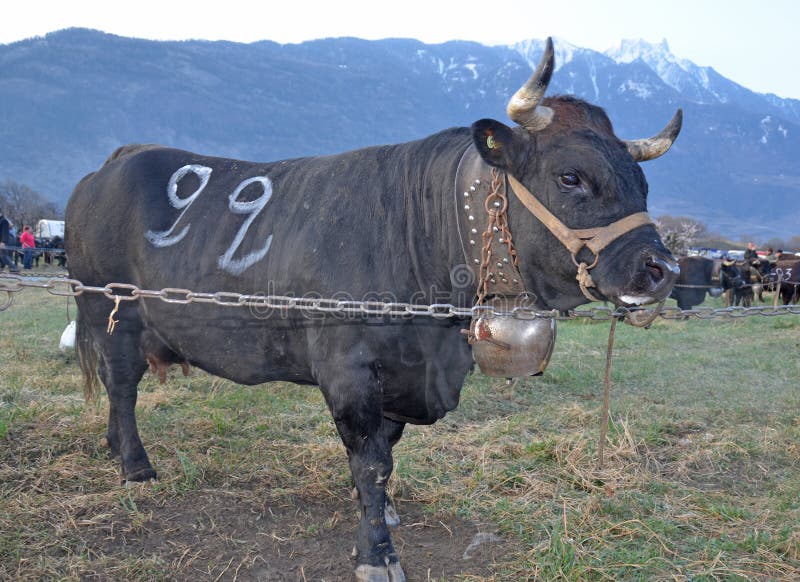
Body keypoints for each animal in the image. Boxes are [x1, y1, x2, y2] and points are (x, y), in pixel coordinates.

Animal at [65, 39, 680, 582]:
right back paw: (135, 466)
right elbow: (372, 460)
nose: (663, 268)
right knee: (122, 385)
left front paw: (382, 511)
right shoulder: (348, 367)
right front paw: (376, 554)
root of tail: (117, 161)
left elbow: (389, 449)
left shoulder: (404, 375)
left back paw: (115, 447)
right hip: (109, 310)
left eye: (643, 181)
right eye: (570, 176)